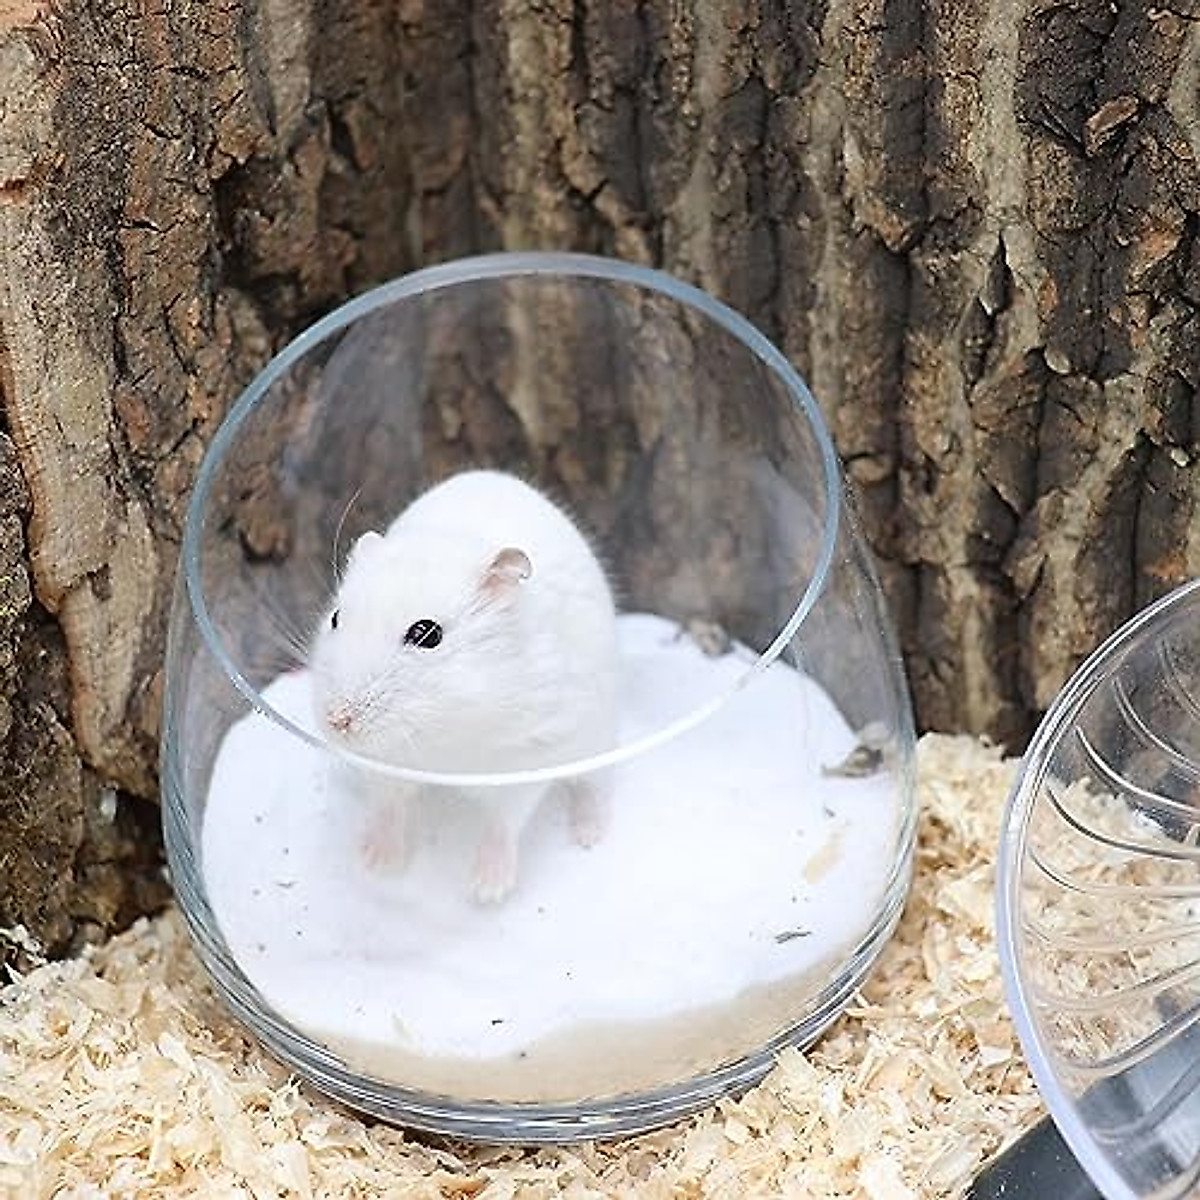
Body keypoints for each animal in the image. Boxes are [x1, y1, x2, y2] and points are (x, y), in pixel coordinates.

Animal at [308, 469, 619, 903]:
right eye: (336, 618)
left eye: (427, 634)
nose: (337, 721)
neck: (444, 728)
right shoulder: (386, 766)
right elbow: (389, 802)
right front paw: (377, 865)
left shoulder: (528, 757)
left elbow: (504, 820)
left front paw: (486, 891)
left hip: (596, 736)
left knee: (588, 784)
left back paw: (589, 837)